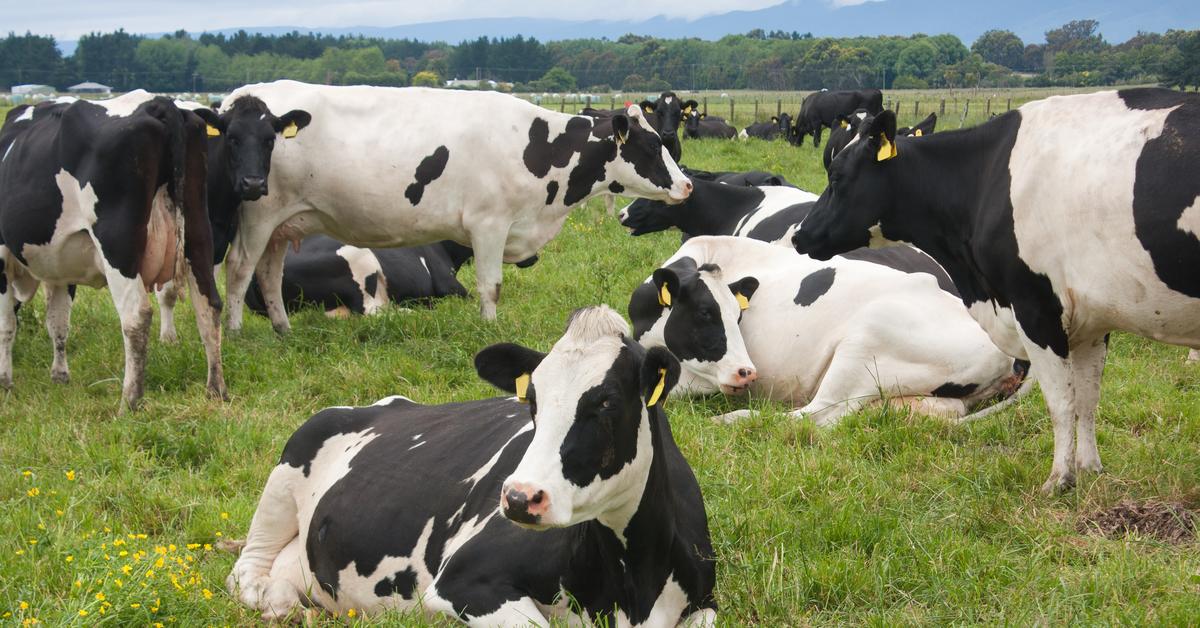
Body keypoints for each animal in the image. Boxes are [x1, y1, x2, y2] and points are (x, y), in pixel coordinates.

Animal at [0, 91, 226, 410]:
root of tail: (157, 102)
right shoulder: (59, 265)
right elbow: (58, 320)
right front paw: (59, 376)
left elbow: (7, 324)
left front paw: (5, 382)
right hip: (198, 230)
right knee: (209, 306)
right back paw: (216, 390)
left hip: (118, 244)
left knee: (136, 316)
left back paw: (129, 401)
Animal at [227, 305, 718, 625]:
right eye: (532, 399)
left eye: (606, 401)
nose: (520, 497)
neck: (631, 586)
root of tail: (380, 405)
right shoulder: (462, 581)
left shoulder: (705, 601)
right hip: (290, 465)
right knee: (246, 568)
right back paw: (273, 599)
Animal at [629, 236, 1027, 425]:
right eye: (705, 313)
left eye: (736, 317)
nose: (747, 372)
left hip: (864, 342)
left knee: (814, 416)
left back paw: (731, 419)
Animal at [791, 89, 1200, 492]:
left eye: (837, 176)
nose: (798, 235)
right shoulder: (1092, 320)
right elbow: (1087, 398)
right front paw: (1089, 469)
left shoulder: (1036, 307)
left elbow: (1061, 402)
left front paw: (1059, 479)